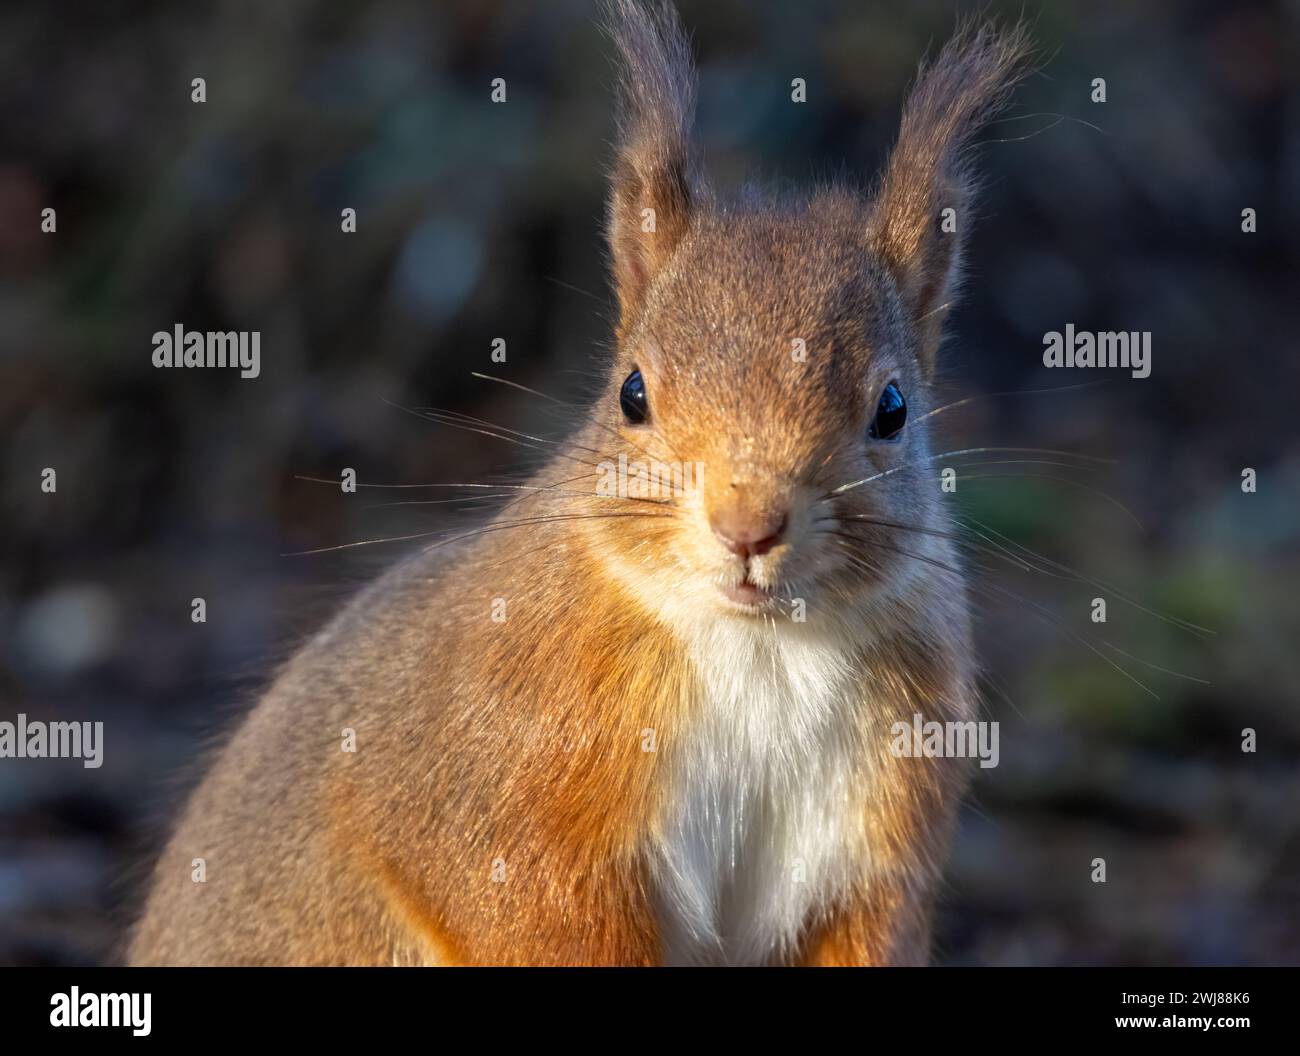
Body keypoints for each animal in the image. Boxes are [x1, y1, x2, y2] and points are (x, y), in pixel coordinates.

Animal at [129, 1, 1031, 966]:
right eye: (631, 393)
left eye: (893, 410)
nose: (748, 524)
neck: (761, 651)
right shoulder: (507, 802)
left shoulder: (879, 845)